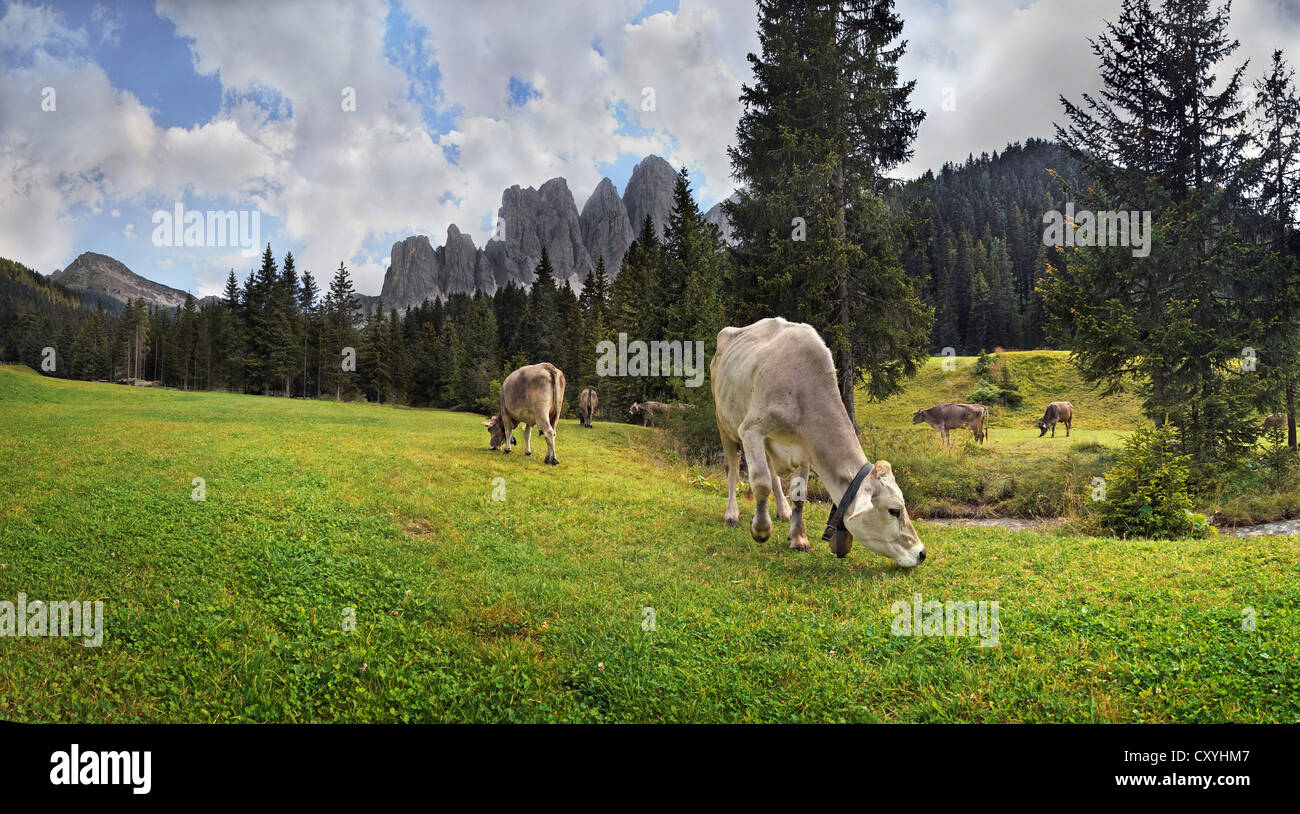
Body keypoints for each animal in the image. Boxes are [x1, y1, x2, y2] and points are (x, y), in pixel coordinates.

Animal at [711, 317, 925, 567]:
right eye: (894, 510)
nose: (921, 553)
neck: (801, 389)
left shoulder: (805, 449)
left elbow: (799, 496)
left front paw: (798, 538)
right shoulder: (751, 429)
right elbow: (761, 483)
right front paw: (761, 529)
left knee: (773, 473)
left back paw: (783, 510)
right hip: (724, 423)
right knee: (733, 469)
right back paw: (731, 514)